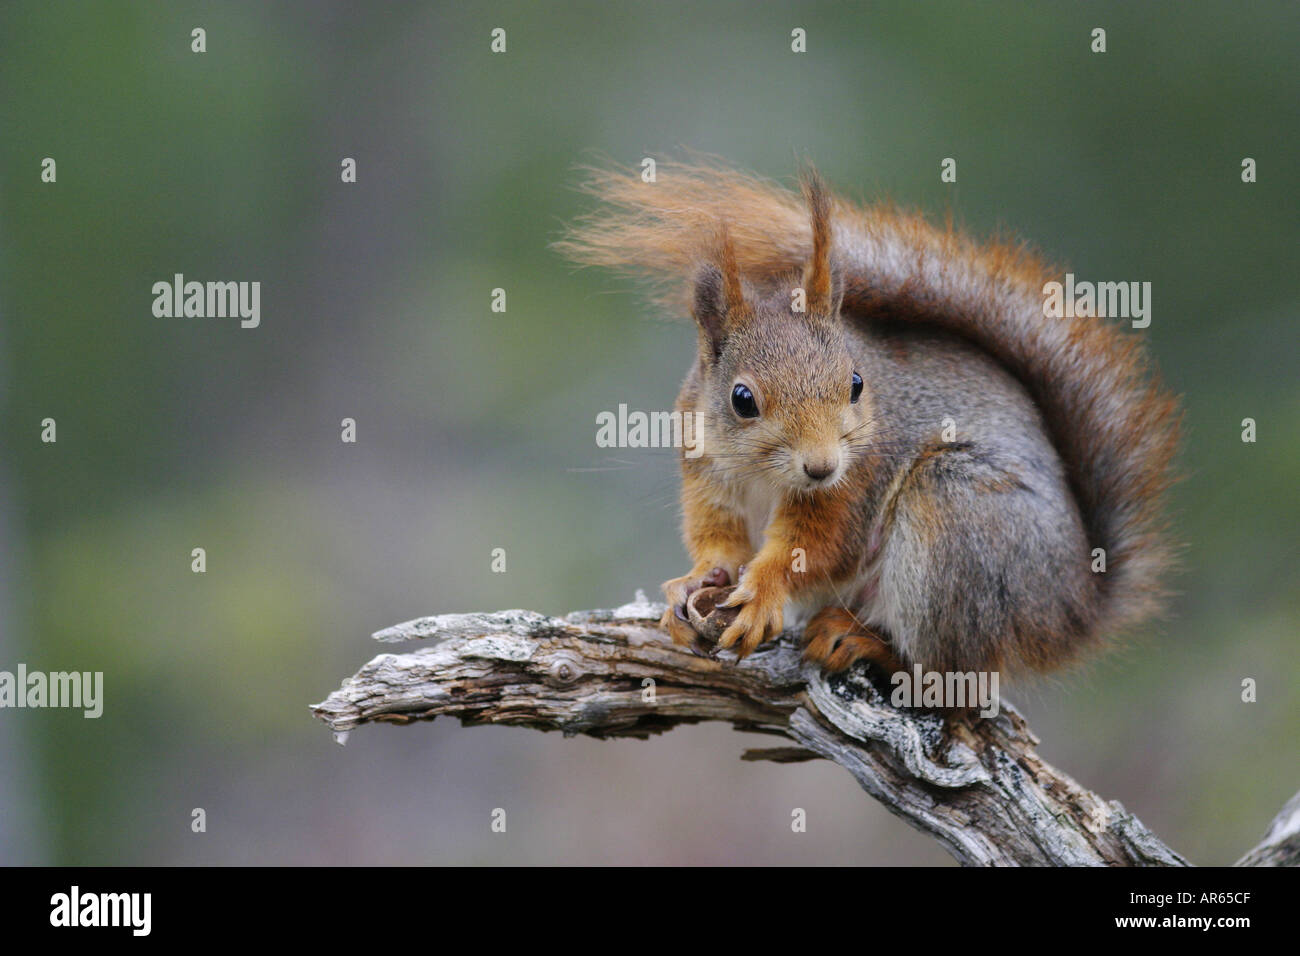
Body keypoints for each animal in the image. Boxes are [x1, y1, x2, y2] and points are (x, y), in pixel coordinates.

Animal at [556, 158, 1181, 678]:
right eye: (741, 399)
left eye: (856, 383)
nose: (821, 467)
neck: (764, 477)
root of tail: (1073, 610)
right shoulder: (707, 472)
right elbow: (720, 541)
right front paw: (694, 583)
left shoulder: (853, 487)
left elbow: (816, 549)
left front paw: (761, 595)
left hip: (959, 521)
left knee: (947, 671)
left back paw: (862, 641)